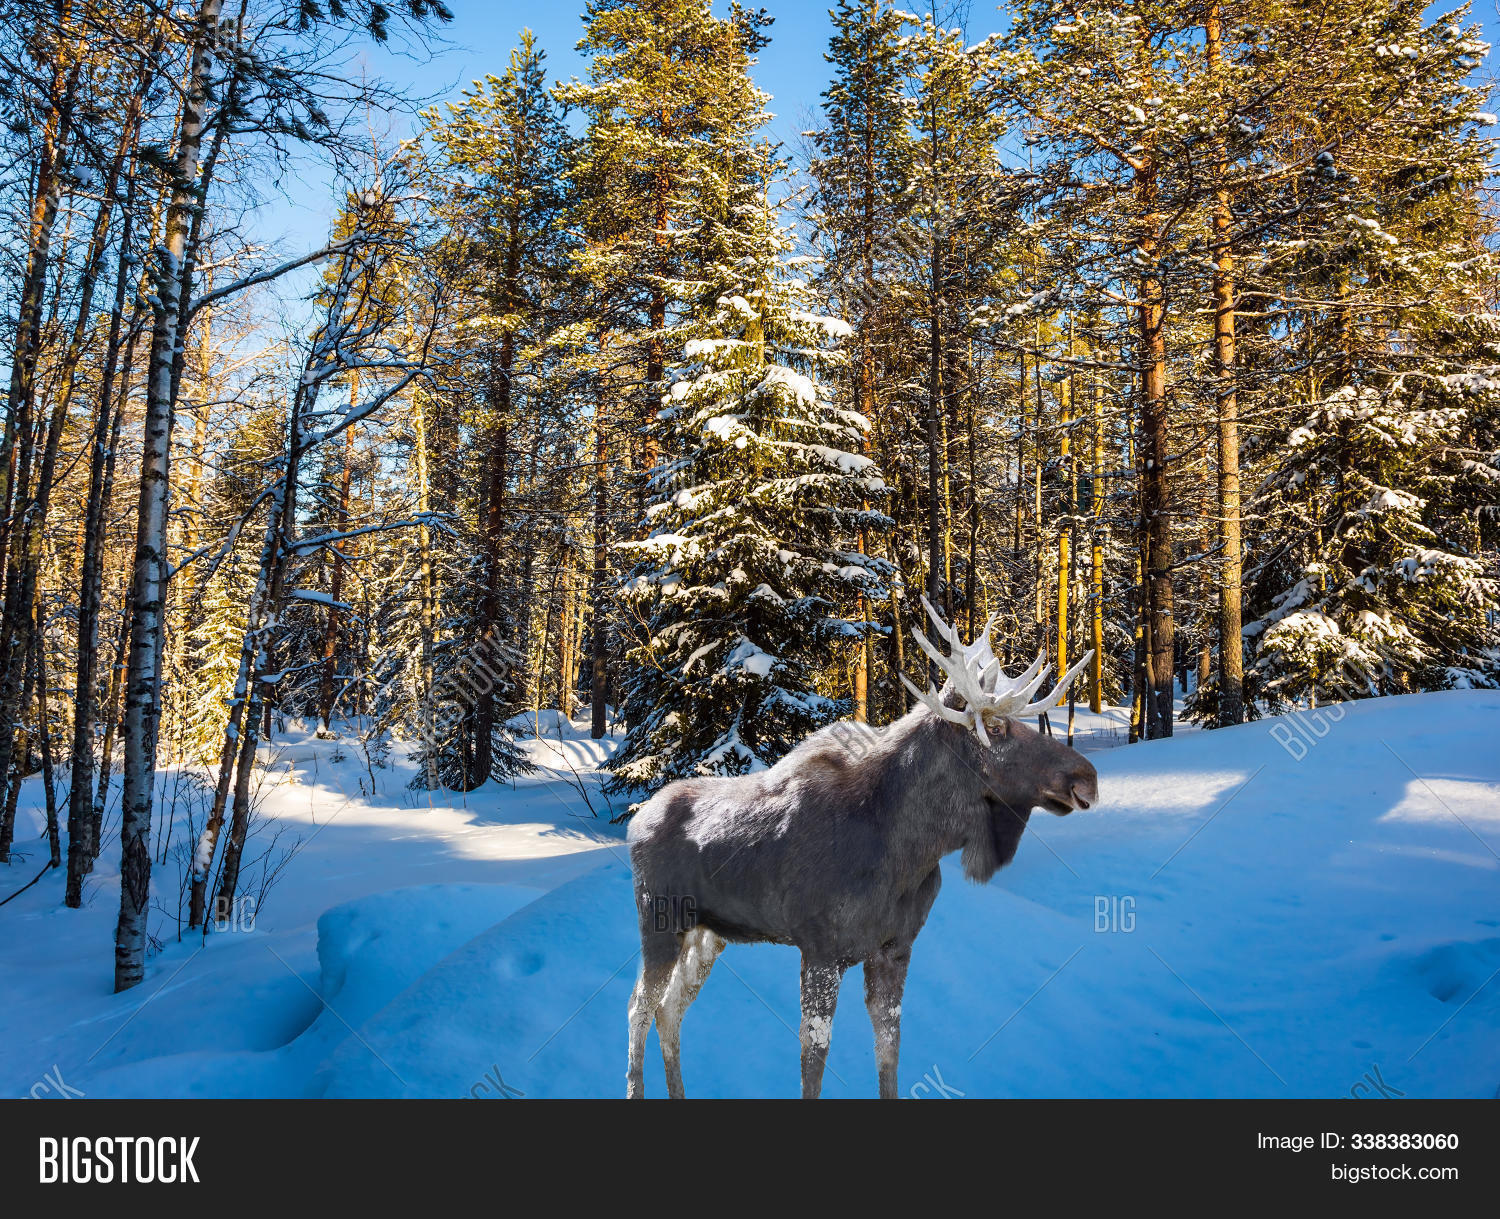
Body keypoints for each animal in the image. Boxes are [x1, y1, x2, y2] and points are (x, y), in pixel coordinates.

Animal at [625, 599, 1101, 1099]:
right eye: (994, 724)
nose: (1086, 778)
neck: (908, 850)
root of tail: (636, 822)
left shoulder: (895, 949)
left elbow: (889, 1051)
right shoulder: (820, 949)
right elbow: (813, 1058)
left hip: (707, 934)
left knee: (670, 1009)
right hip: (659, 921)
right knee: (639, 1007)